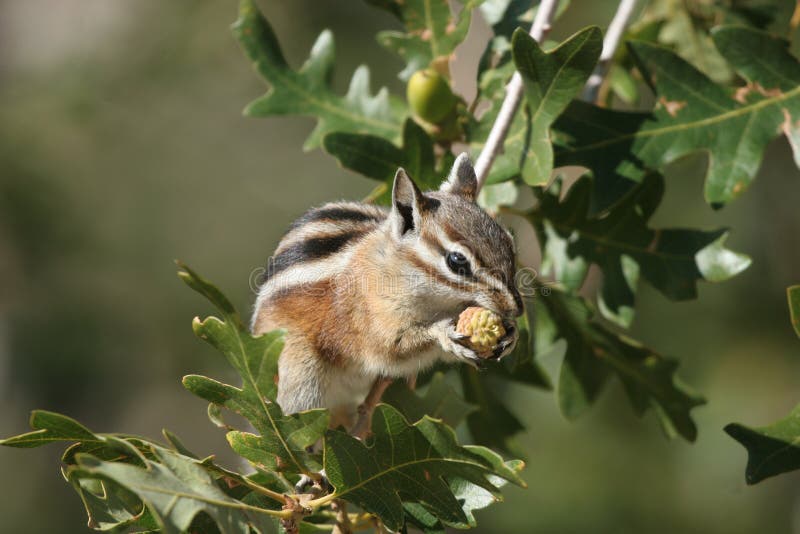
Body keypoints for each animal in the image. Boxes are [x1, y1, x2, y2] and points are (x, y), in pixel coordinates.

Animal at [251, 153, 522, 429]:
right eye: (457, 261)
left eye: (510, 243)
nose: (516, 308)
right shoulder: (370, 318)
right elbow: (391, 349)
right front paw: (443, 334)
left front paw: (511, 333)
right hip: (299, 379)